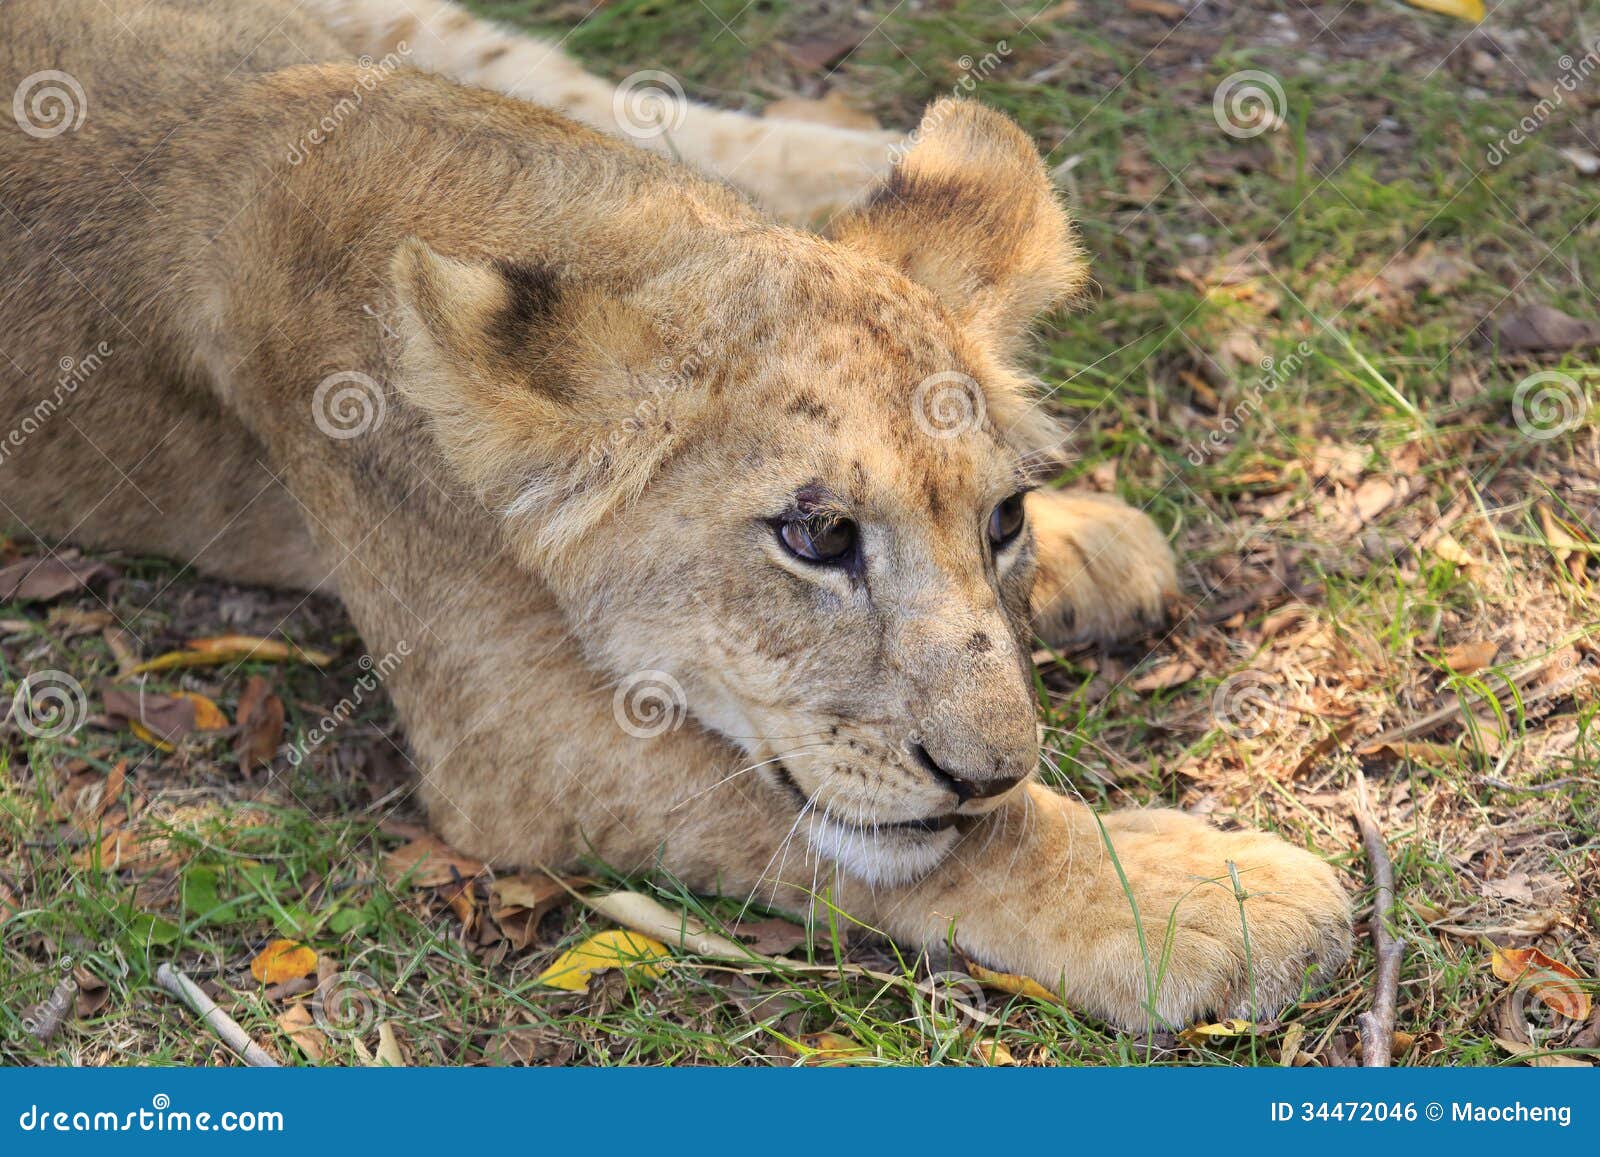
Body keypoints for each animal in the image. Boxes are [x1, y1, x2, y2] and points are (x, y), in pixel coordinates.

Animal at [0, 0, 1350, 1030]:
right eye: (815, 537)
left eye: (1001, 515)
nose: (987, 767)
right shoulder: (511, 744)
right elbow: (907, 832)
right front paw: (1205, 899)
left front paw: (1087, 543)